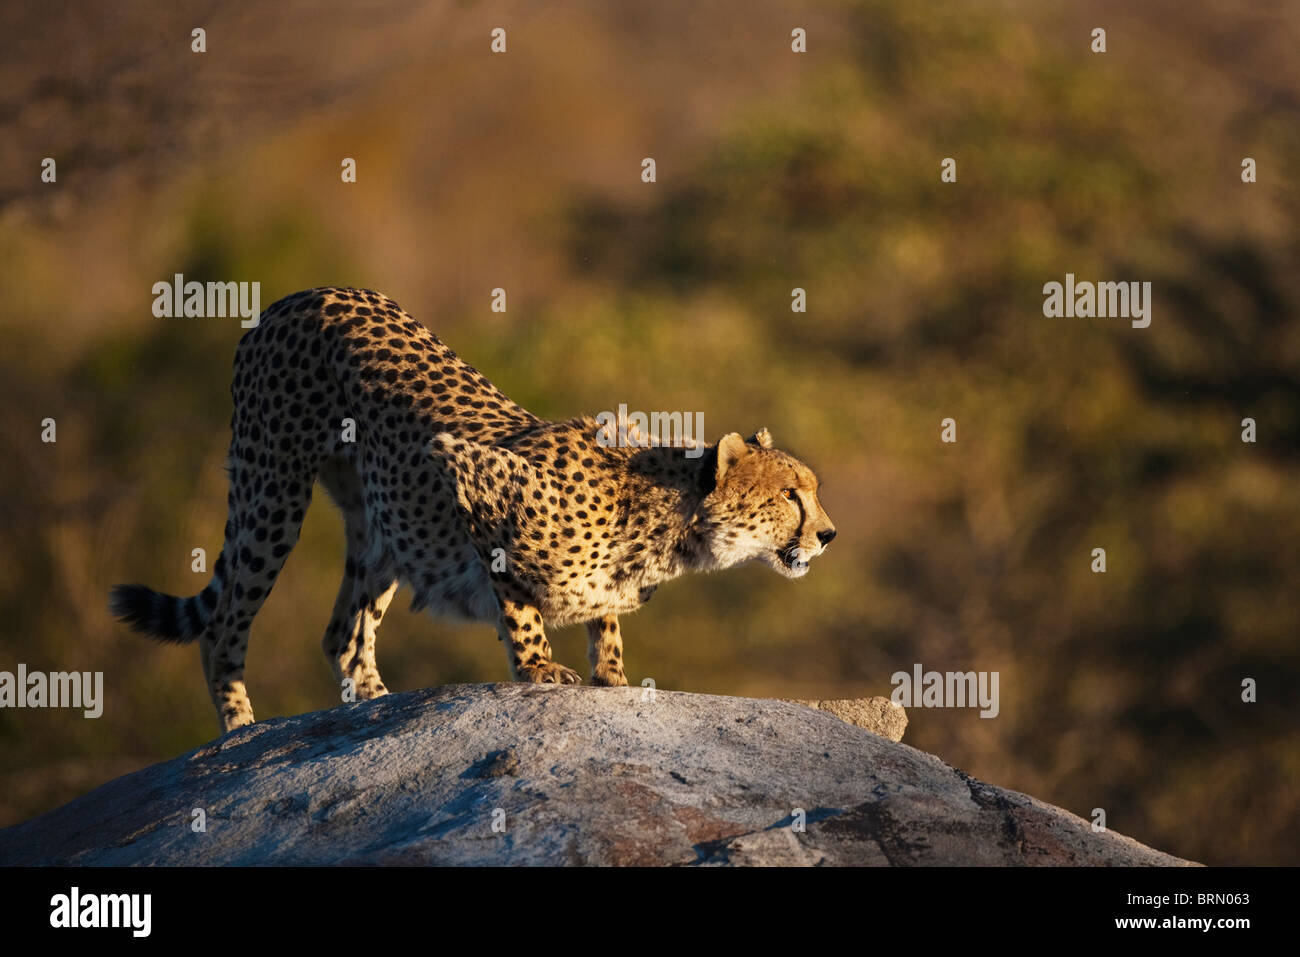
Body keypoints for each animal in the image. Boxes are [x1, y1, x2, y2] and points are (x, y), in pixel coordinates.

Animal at [109, 287, 836, 732]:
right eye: (790, 494)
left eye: (810, 489)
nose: (829, 534)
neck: (668, 526)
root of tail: (300, 295)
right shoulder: (477, 492)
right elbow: (522, 610)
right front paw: (541, 668)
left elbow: (604, 621)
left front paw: (613, 675)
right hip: (274, 487)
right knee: (224, 625)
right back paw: (238, 728)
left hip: (381, 521)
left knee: (343, 631)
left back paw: (378, 702)